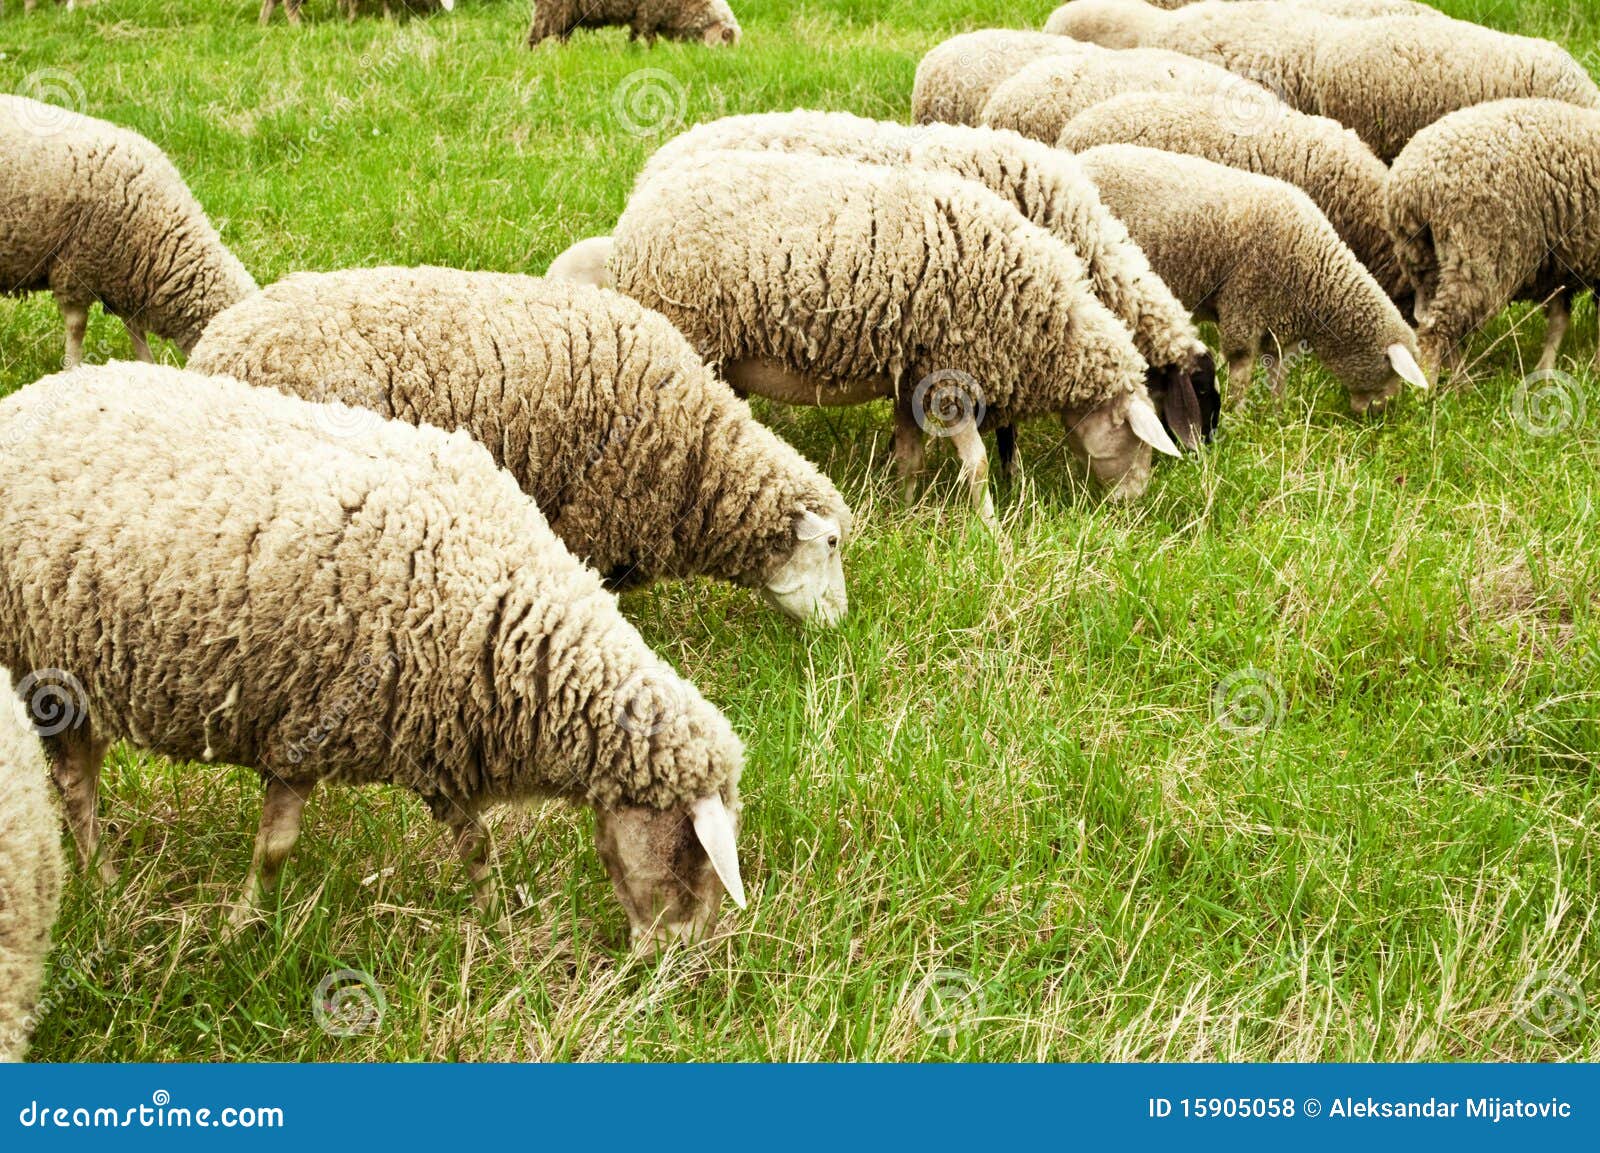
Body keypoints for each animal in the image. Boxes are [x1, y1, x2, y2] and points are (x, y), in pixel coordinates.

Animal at [0, 96, 256, 369]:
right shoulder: (75, 266)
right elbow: (77, 327)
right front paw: (73, 367)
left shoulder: (127, 274)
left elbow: (135, 329)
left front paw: (146, 364)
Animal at [0, 363, 749, 949]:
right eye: (693, 851)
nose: (676, 960)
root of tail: (26, 399)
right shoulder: (303, 729)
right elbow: (273, 849)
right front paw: (244, 928)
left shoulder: (436, 738)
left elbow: (474, 840)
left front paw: (491, 921)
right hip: (38, 668)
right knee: (74, 789)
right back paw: (103, 883)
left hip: (78, 677)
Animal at [600, 149, 1182, 517]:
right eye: (1142, 443)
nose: (1132, 509)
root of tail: (637, 210)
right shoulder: (953, 375)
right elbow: (973, 465)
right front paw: (990, 528)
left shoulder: (914, 373)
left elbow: (910, 452)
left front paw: (905, 507)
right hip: (688, 332)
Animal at [1075, 145, 1430, 414]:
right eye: (1392, 375)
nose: (1376, 417)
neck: (1315, 273)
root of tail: (1082, 156)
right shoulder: (1244, 302)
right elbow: (1242, 369)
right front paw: (1237, 413)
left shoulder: (1280, 324)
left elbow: (1277, 371)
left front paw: (1276, 413)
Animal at [1386, 99, 1600, 376]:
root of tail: (1411, 182)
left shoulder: (1563, 263)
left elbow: (1558, 320)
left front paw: (1546, 370)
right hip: (1477, 255)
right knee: (1438, 327)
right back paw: (1431, 384)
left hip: (1422, 257)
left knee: (1427, 318)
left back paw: (1458, 377)